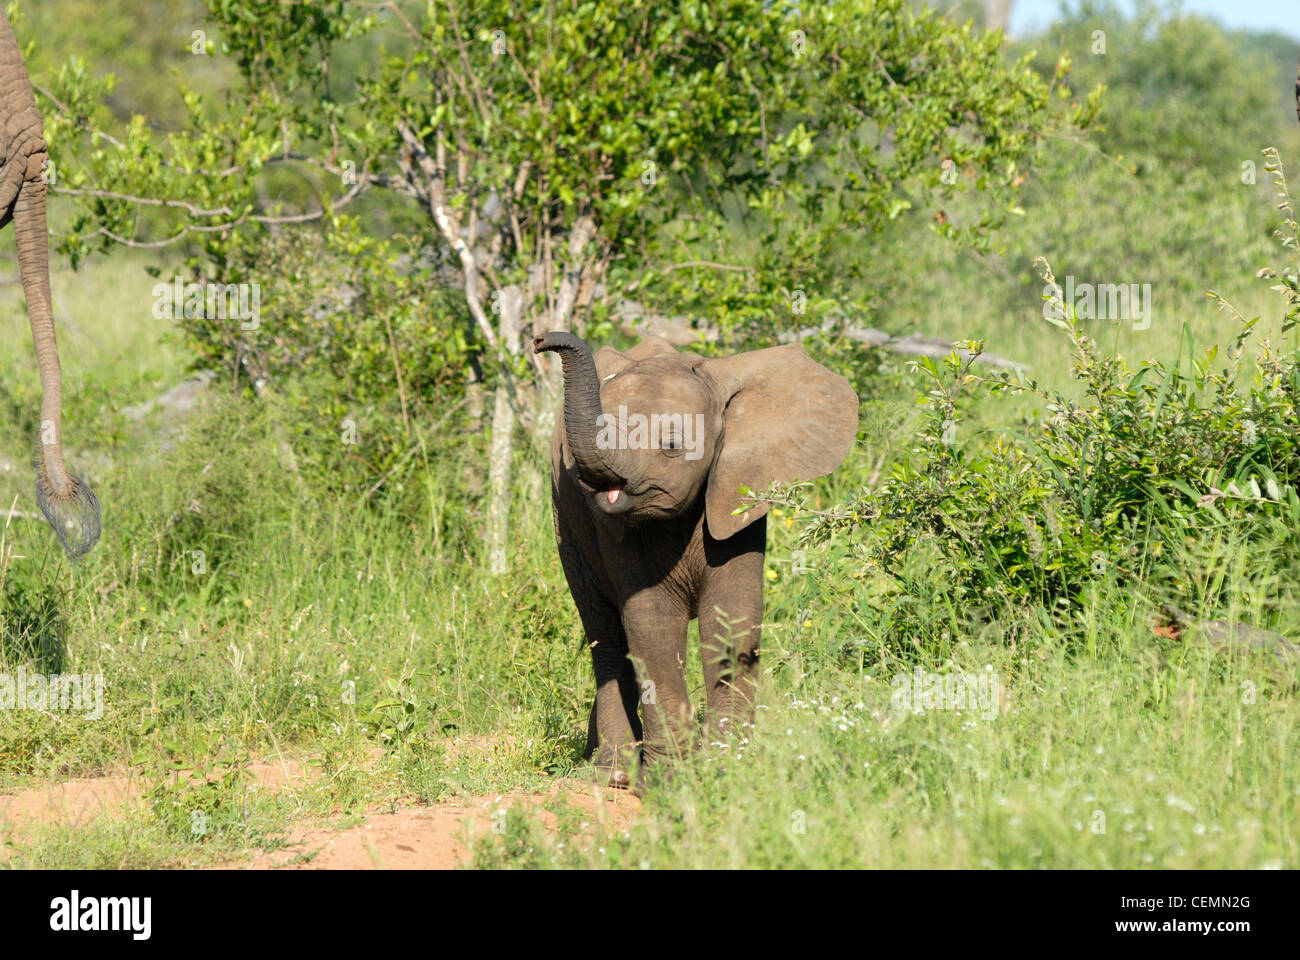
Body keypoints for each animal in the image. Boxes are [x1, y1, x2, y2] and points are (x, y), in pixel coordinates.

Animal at [534, 330, 858, 788]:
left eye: (672, 445)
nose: (541, 340)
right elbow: (651, 623)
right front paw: (671, 778)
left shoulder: (736, 491)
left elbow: (731, 615)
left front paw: (726, 764)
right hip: (565, 524)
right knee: (606, 635)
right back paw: (612, 773)